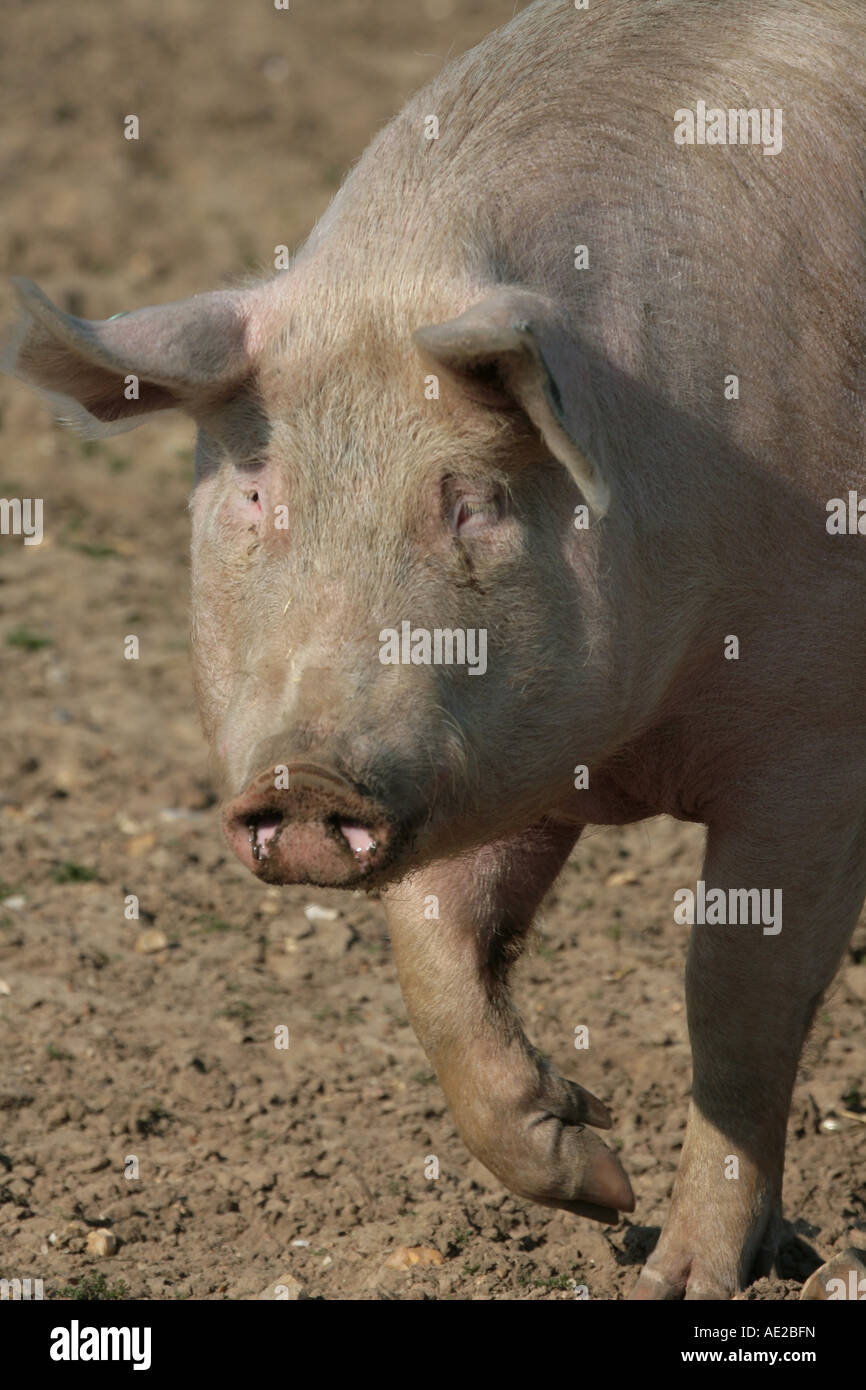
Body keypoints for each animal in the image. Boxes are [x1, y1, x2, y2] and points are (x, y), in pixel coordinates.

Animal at [5, 0, 866, 1300]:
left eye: (469, 501)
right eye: (254, 493)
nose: (304, 778)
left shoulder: (815, 736)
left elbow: (733, 994)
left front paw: (673, 1277)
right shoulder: (484, 751)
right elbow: (435, 949)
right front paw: (592, 1170)